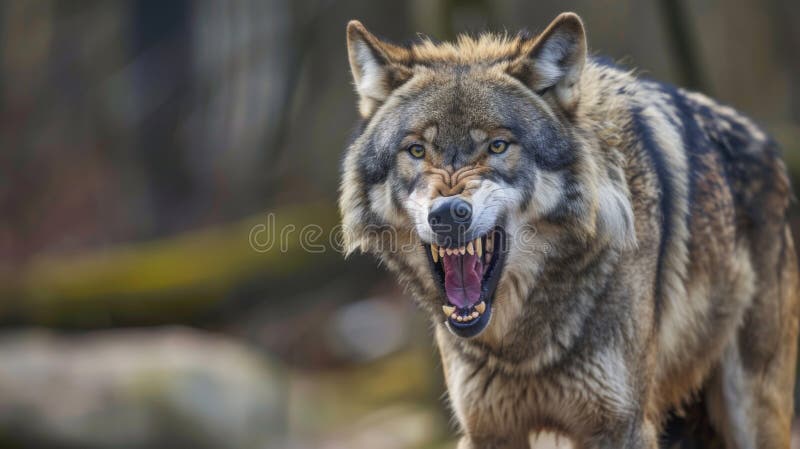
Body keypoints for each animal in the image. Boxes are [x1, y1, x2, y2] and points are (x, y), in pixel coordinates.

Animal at [338, 12, 799, 448]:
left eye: (498, 146)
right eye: (416, 150)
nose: (449, 214)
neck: (521, 350)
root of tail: (768, 143)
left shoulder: (621, 428)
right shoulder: (489, 431)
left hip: (751, 410)